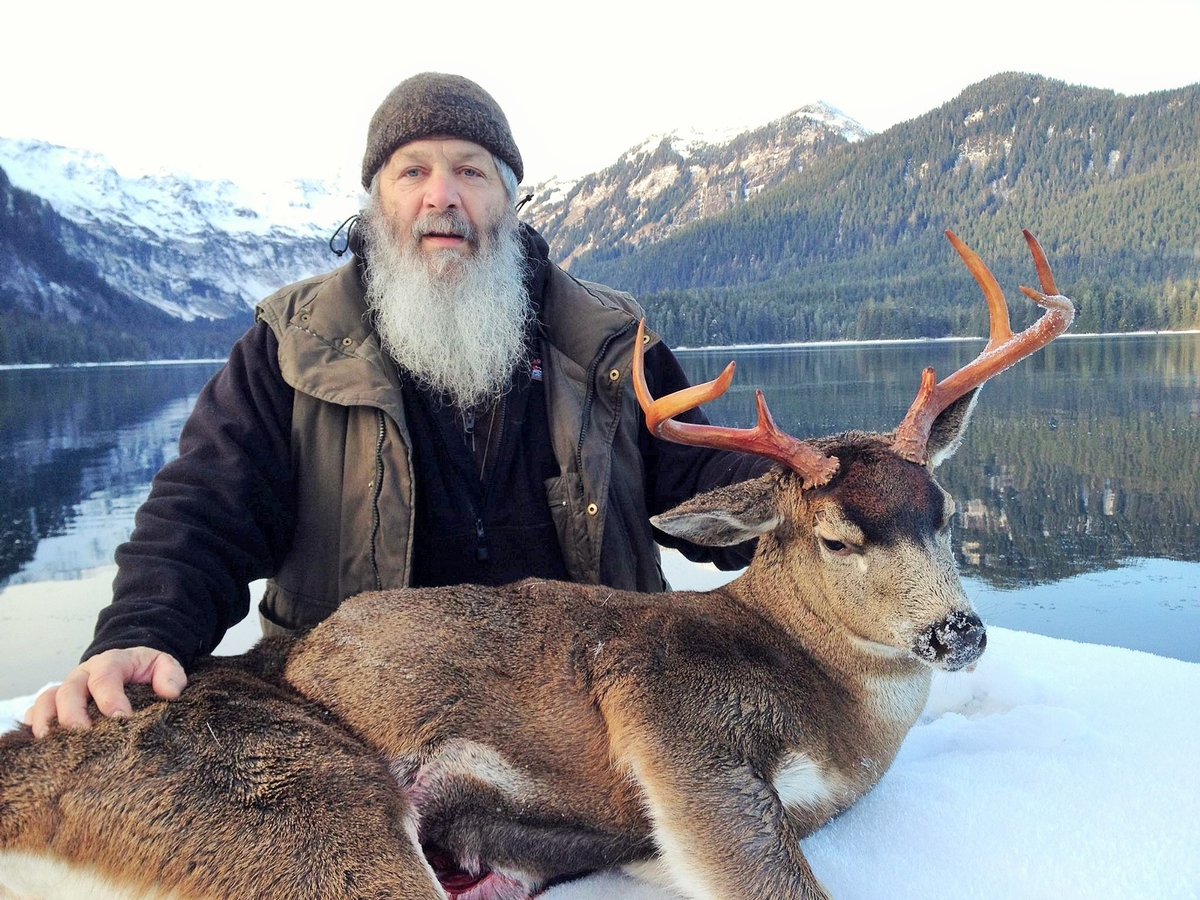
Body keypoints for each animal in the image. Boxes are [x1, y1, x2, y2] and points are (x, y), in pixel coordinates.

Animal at [0, 231, 1073, 900]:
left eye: (942, 511)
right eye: (838, 538)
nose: (958, 631)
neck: (837, 702)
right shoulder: (668, 712)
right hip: (288, 799)